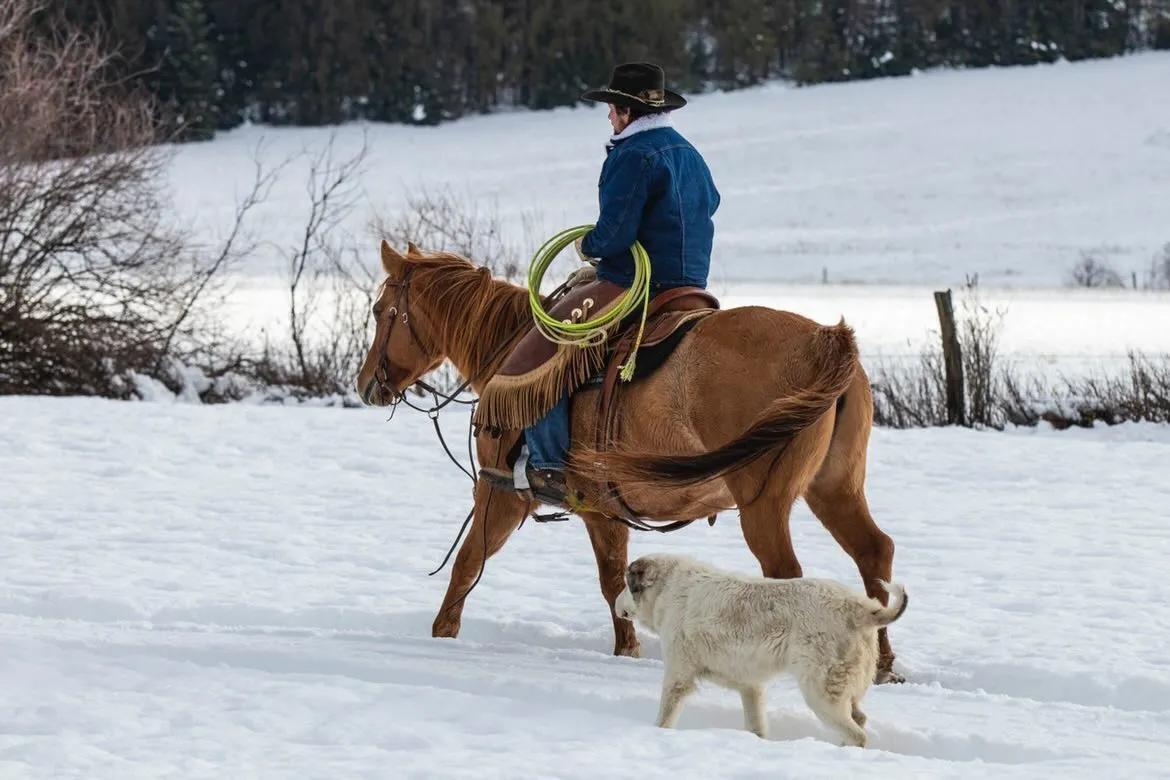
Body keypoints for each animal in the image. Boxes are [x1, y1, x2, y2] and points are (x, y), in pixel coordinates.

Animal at [358, 241, 902, 683]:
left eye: (381, 309)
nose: (367, 385)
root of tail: (826, 340)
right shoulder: (604, 512)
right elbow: (614, 581)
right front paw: (628, 649)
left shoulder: (502, 492)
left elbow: (469, 563)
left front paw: (442, 633)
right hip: (833, 489)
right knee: (873, 552)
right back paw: (882, 665)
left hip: (764, 504)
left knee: (787, 573)